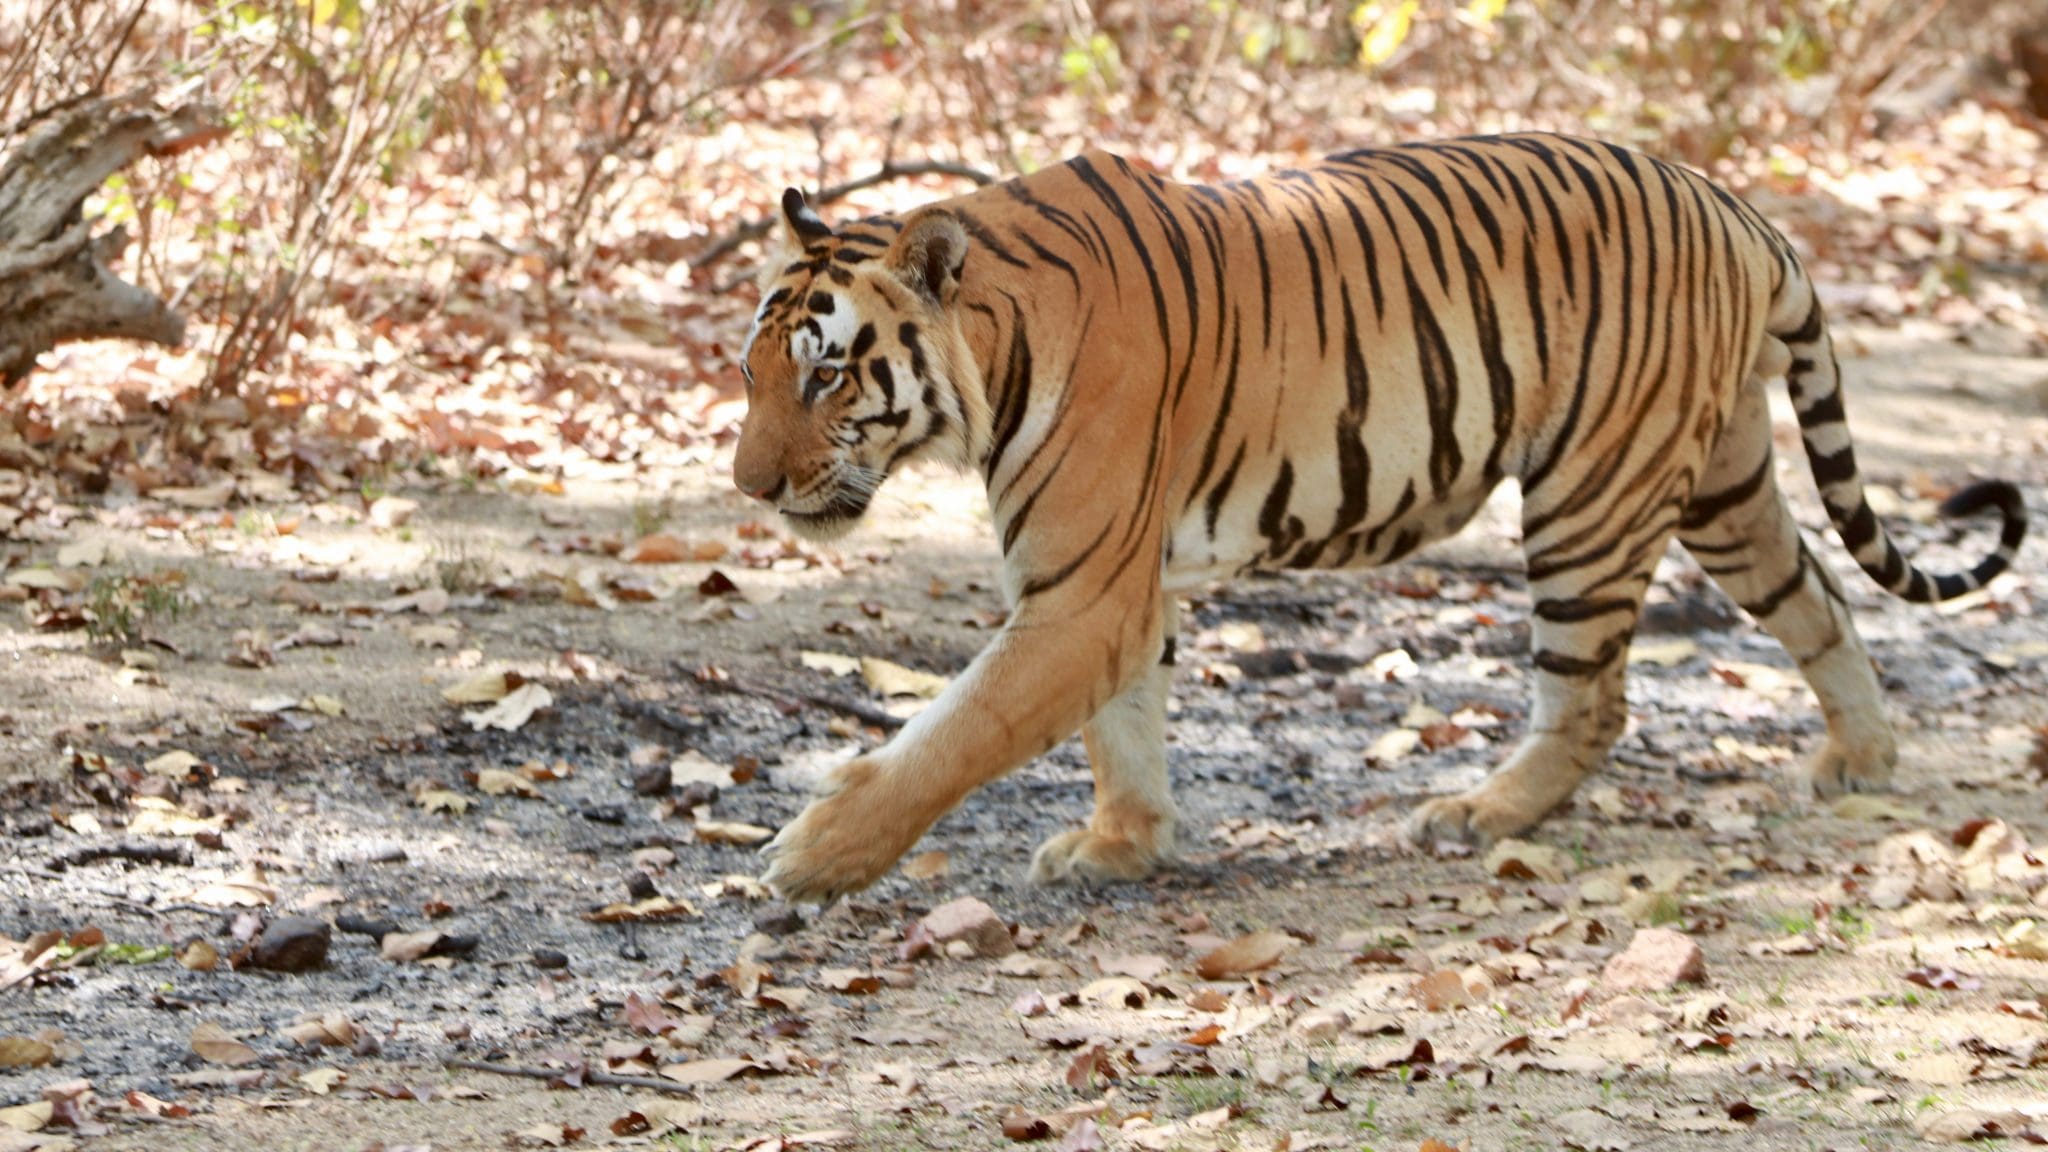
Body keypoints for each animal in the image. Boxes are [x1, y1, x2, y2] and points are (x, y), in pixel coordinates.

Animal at [730, 133, 2028, 905]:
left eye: (826, 376)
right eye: (749, 372)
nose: (750, 489)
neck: (995, 353)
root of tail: (1736, 209)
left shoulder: (1081, 592)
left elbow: (959, 731)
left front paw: (811, 855)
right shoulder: (1107, 589)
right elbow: (1121, 724)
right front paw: (1123, 843)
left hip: (1589, 496)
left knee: (1592, 697)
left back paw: (1473, 811)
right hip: (1718, 477)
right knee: (1817, 601)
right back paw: (1859, 759)